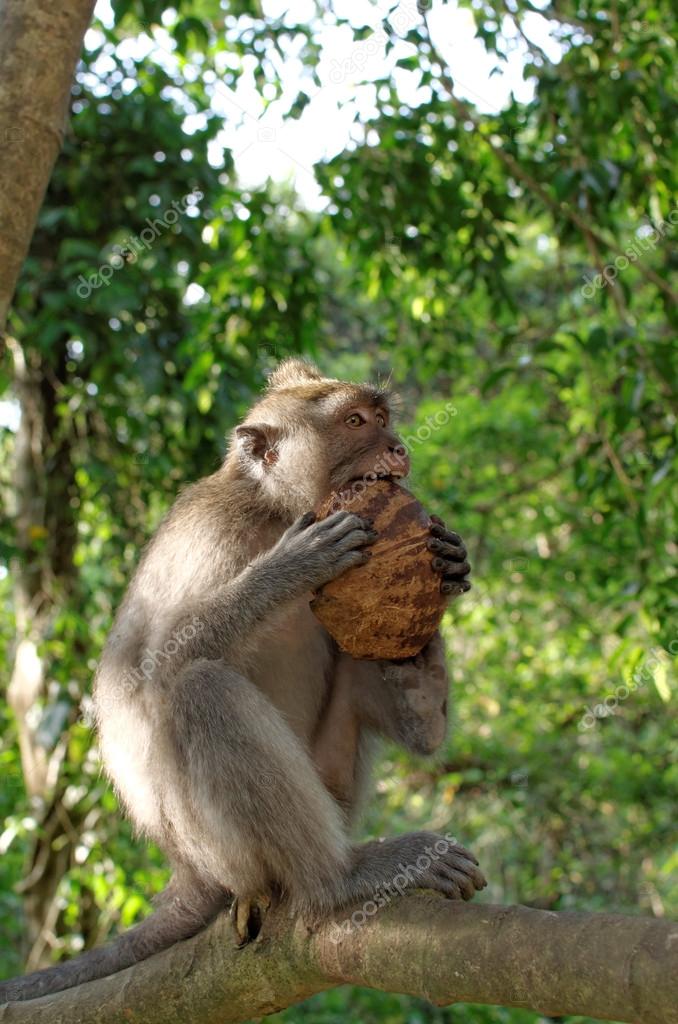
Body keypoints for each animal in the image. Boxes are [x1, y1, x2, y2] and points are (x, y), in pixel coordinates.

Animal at [0, 358, 483, 1003]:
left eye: (382, 417)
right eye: (356, 422)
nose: (399, 446)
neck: (273, 508)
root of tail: (186, 873)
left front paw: (447, 567)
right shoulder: (215, 534)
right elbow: (154, 668)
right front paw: (290, 566)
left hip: (331, 783)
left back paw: (422, 695)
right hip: (218, 848)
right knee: (201, 690)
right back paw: (341, 877)